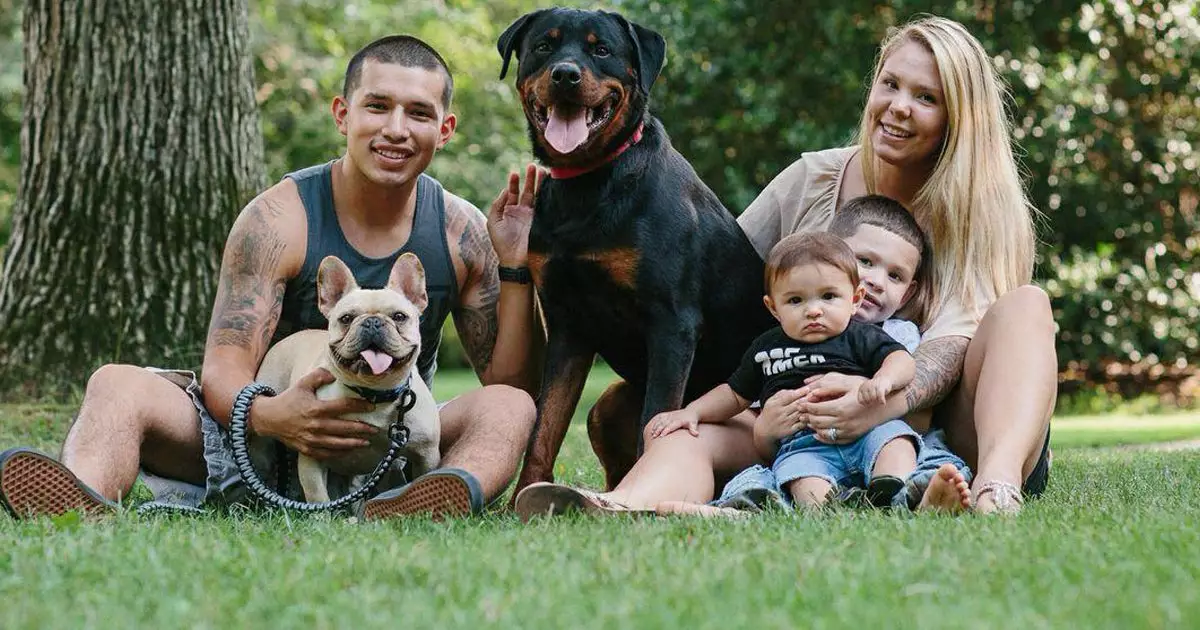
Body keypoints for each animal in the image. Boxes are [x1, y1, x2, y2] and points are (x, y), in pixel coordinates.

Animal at [501, 7, 772, 494]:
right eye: (544, 46)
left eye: (602, 49)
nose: (565, 74)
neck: (588, 184)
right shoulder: (567, 326)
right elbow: (545, 427)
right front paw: (525, 497)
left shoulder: (672, 322)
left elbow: (656, 421)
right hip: (604, 408)